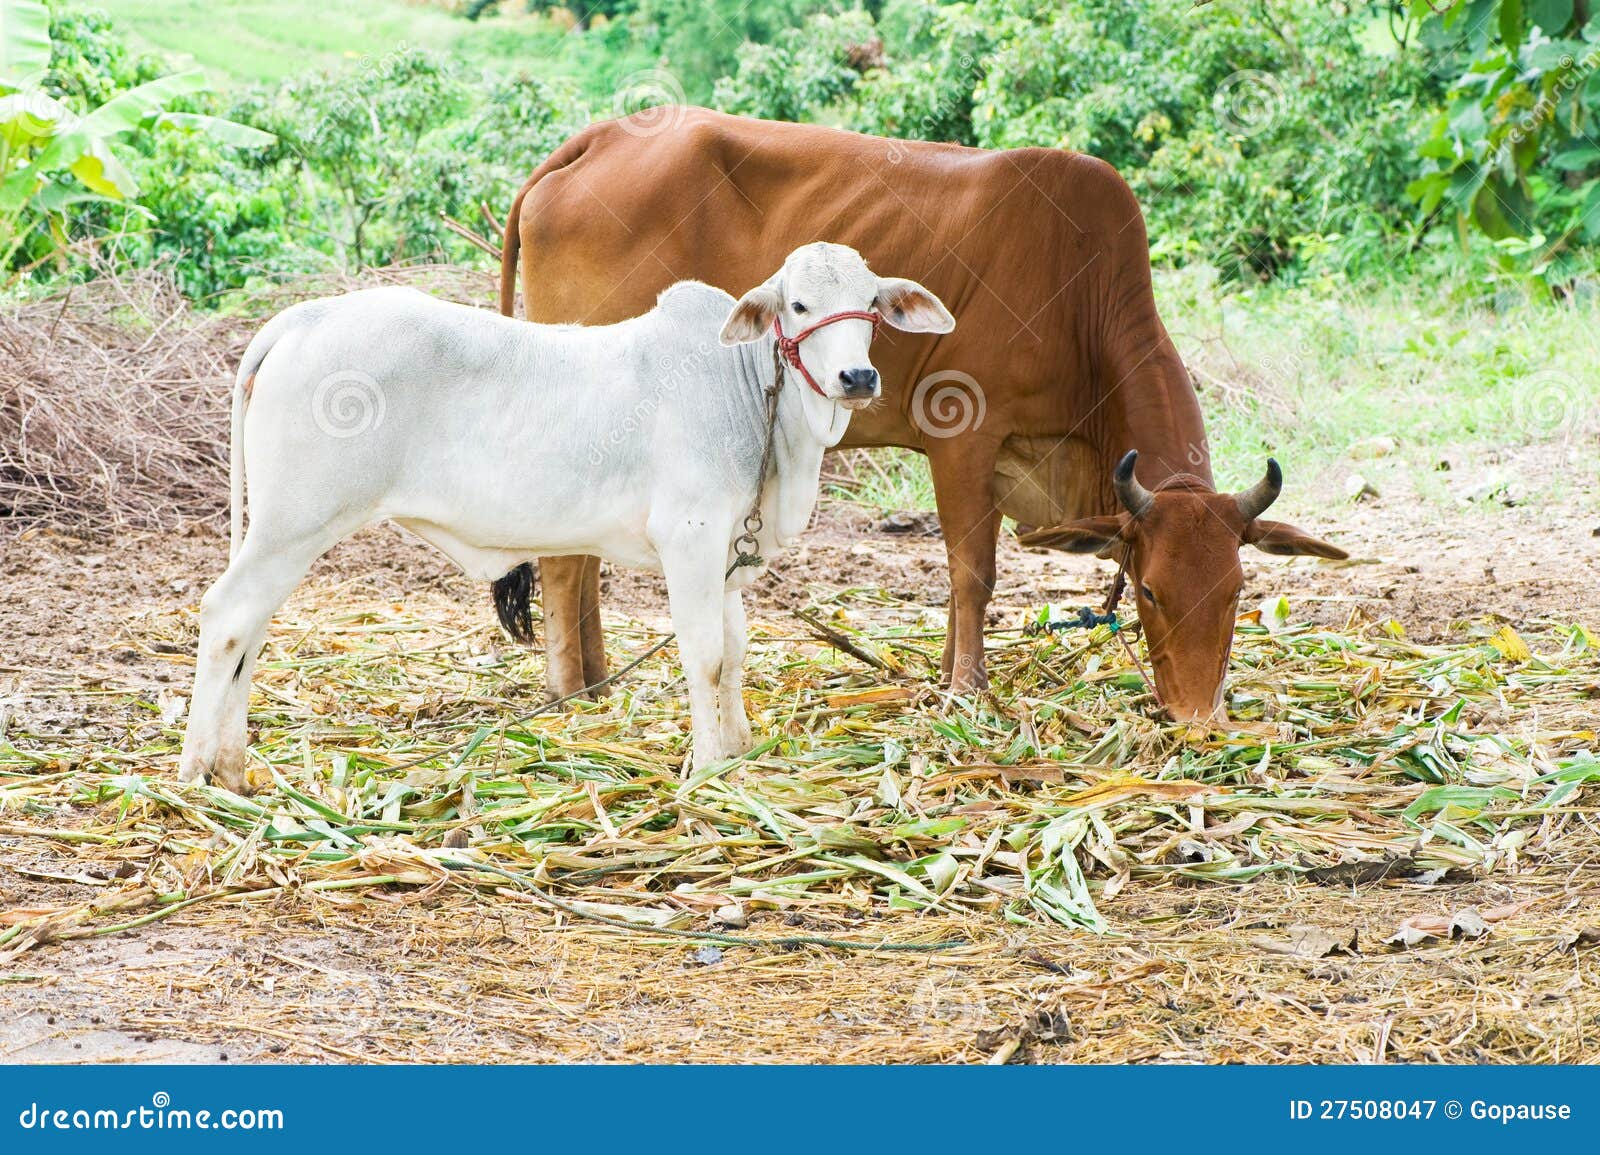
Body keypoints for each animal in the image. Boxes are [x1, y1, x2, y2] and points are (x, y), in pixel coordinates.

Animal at [177, 242, 955, 793]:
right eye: (796, 305)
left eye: (871, 303)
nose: (858, 377)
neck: (749, 392)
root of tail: (306, 316)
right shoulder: (691, 538)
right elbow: (704, 655)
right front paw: (707, 767)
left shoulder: (732, 552)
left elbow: (735, 653)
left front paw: (736, 750)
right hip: (294, 522)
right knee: (225, 616)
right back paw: (193, 774)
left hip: (286, 533)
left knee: (252, 628)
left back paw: (234, 770)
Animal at [498, 108, 1345, 722]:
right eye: (1152, 593)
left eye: (1235, 593)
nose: (1199, 719)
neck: (1080, 293)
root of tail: (601, 138)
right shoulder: (964, 437)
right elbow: (974, 573)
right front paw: (968, 687)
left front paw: (947, 673)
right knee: (562, 558)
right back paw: (571, 692)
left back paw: (599, 680)